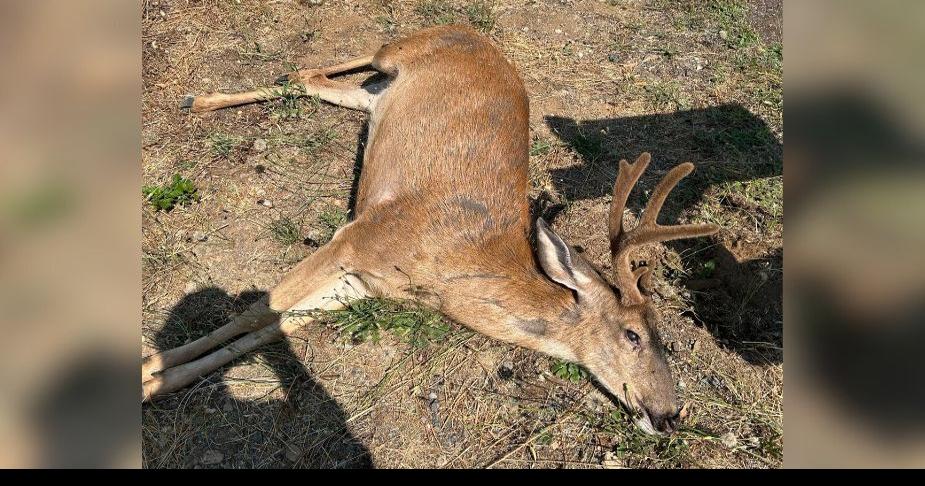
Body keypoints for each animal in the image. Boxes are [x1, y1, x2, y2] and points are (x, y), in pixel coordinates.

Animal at [142, 24, 719, 436]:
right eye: (634, 334)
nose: (671, 415)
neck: (452, 274)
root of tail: (472, 30)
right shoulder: (358, 236)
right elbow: (252, 311)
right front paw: (150, 367)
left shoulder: (364, 282)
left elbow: (270, 327)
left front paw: (159, 381)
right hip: (396, 49)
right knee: (337, 60)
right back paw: (198, 100)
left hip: (374, 95)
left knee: (322, 83)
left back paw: (206, 99)